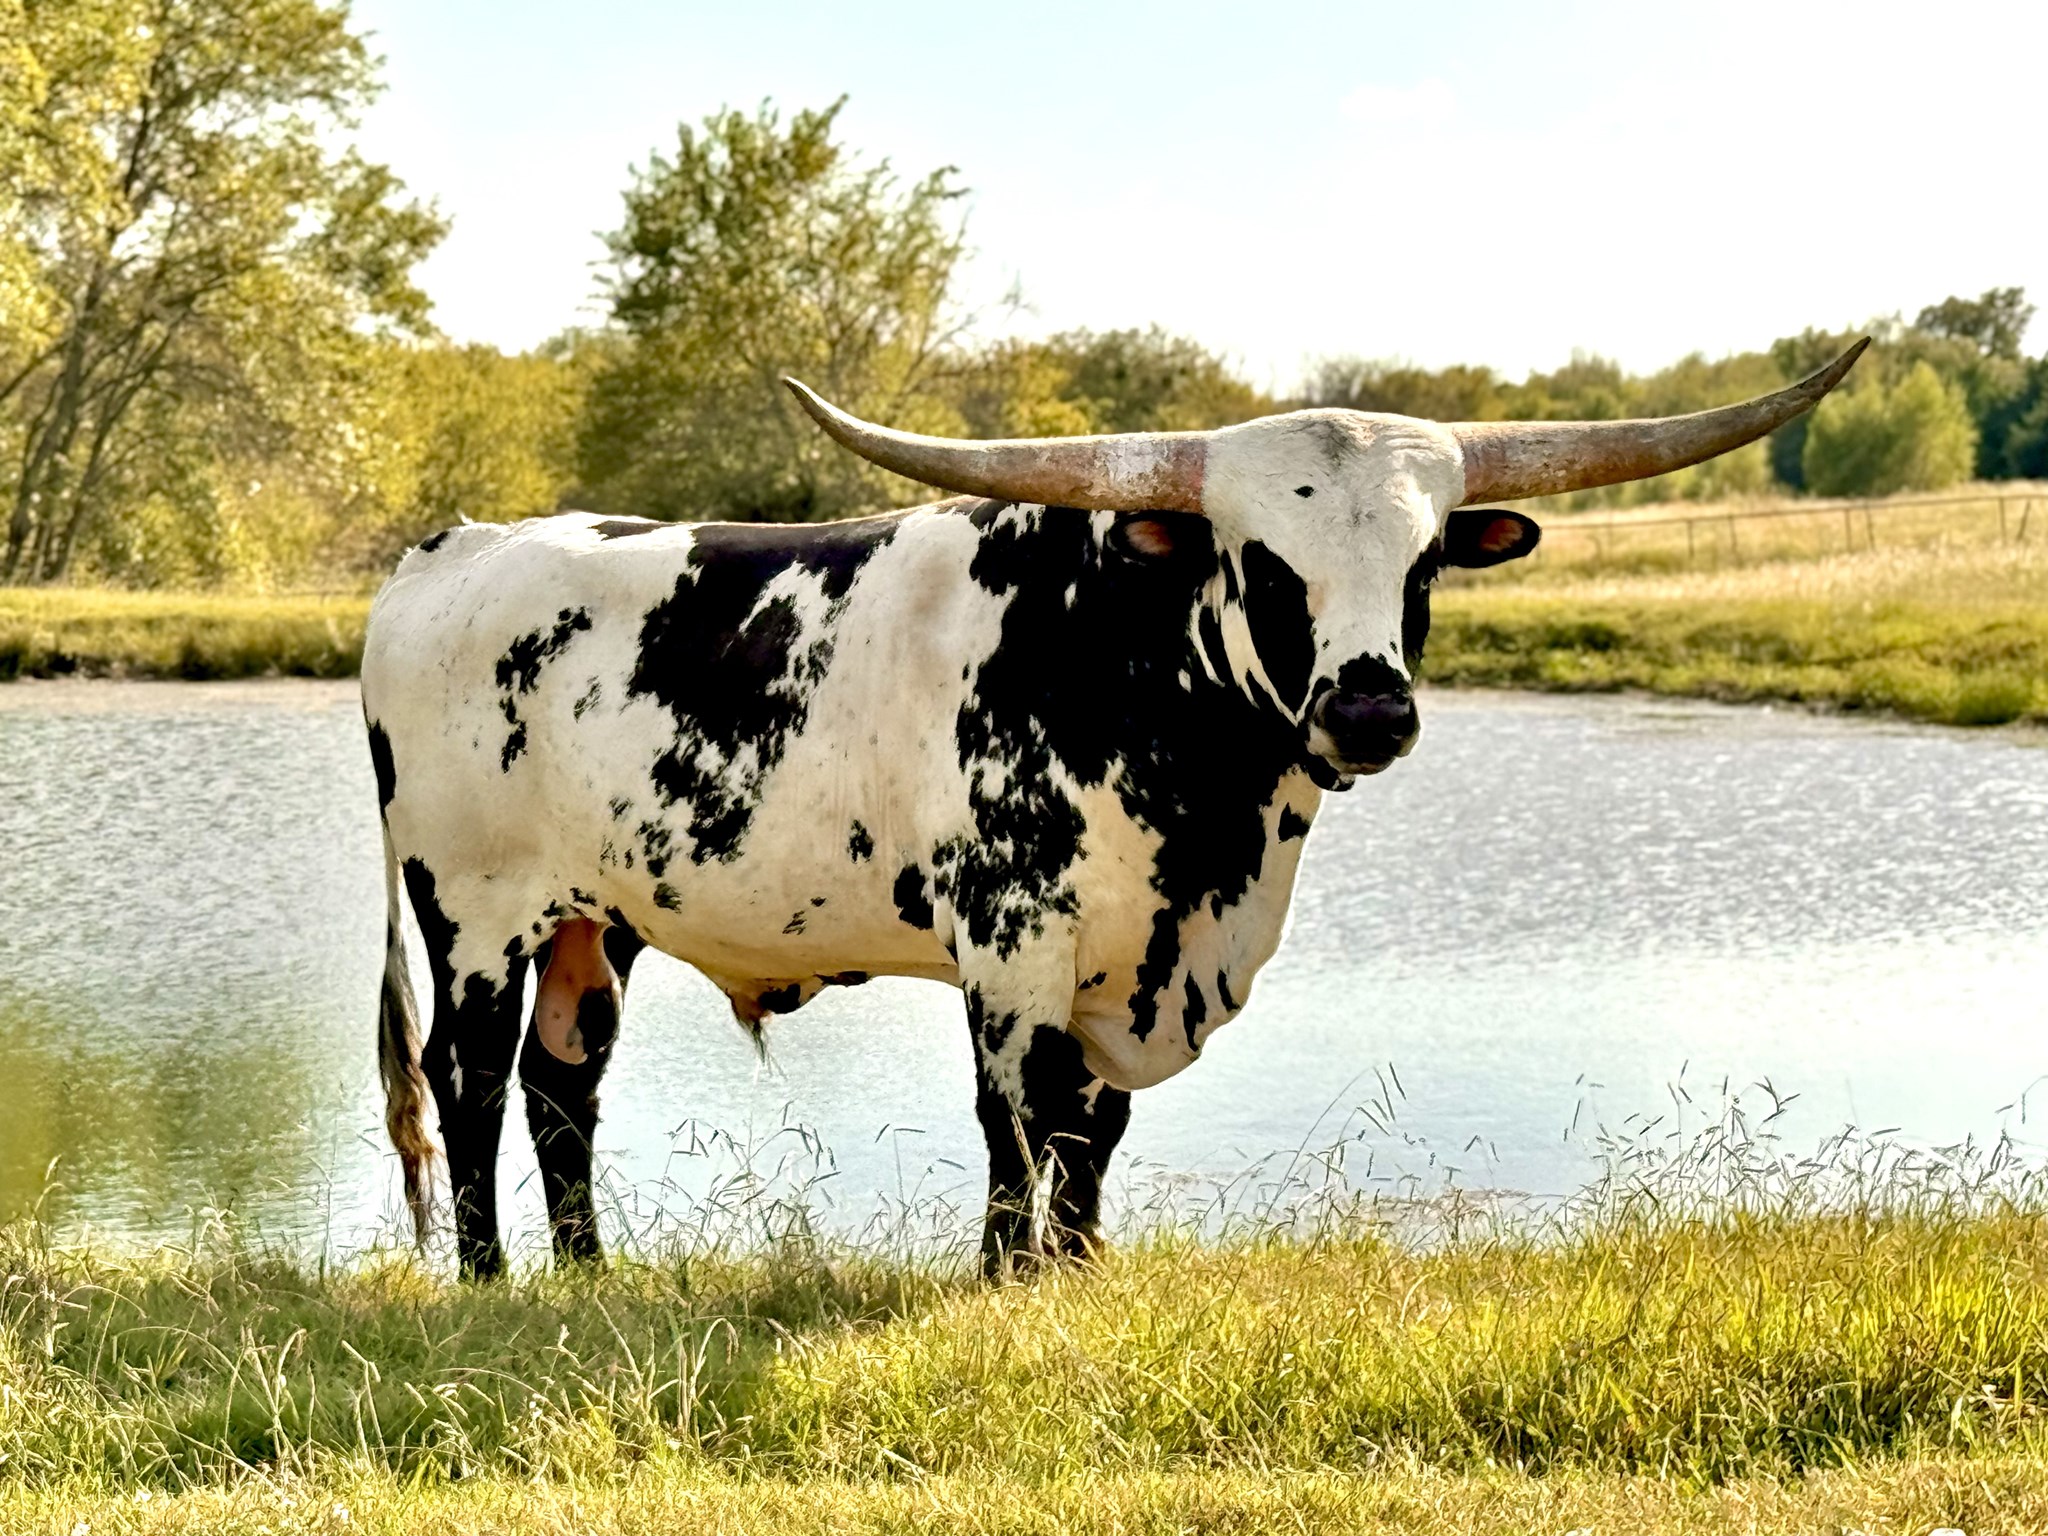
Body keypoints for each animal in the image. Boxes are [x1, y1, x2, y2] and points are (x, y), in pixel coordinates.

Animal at [362, 339, 1866, 1279]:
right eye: (1261, 560)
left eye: (1429, 557)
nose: (1370, 712)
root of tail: (454, 549)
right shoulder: (1013, 938)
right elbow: (1017, 1116)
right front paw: (1007, 1275)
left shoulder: (1133, 959)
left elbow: (1094, 1130)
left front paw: (1078, 1268)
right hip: (475, 910)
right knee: (471, 1078)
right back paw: (491, 1282)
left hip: (593, 917)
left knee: (565, 1081)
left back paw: (588, 1274)